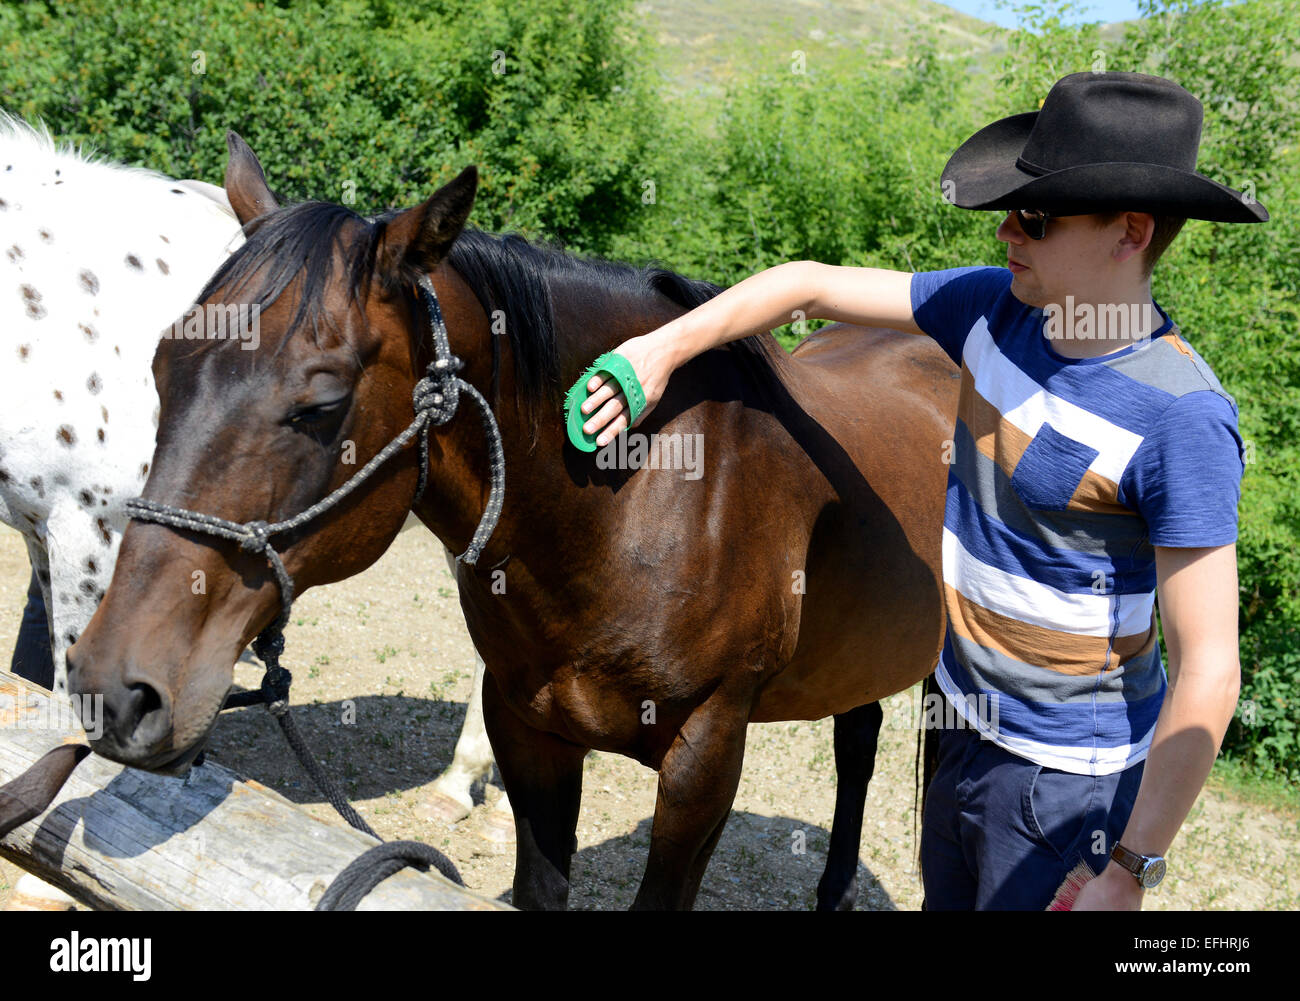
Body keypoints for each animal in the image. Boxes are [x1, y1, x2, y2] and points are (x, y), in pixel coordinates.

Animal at [67, 133, 959, 910]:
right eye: (162, 364)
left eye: (321, 403)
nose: (114, 685)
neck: (630, 502)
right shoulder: (529, 733)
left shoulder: (706, 757)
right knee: (860, 731)